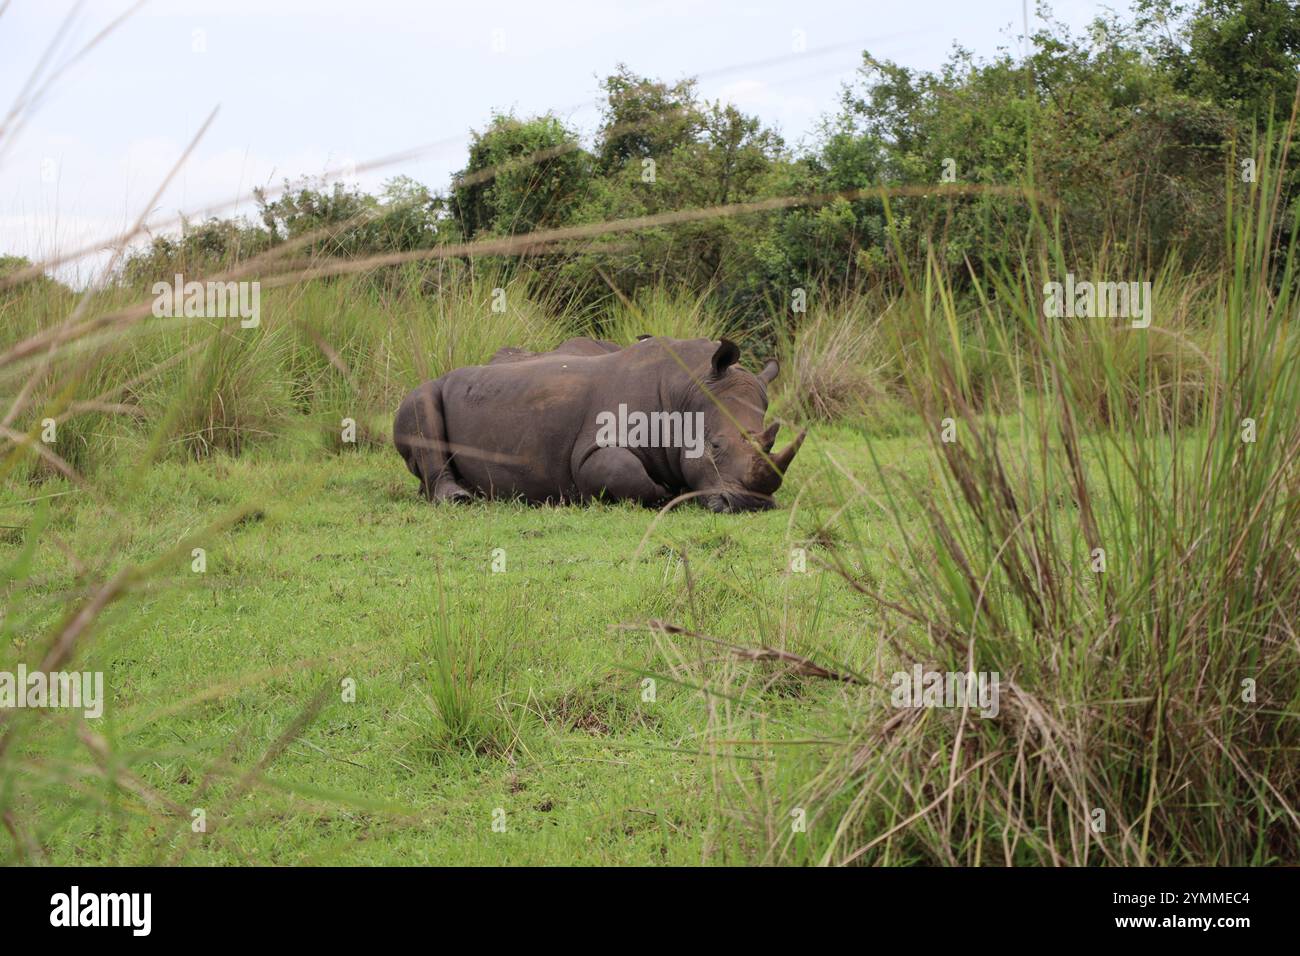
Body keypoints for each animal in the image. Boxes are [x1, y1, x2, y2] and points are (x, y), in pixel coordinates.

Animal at [393, 336, 805, 512]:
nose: (753, 504)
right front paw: (668, 494)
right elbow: (617, 470)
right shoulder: (595, 446)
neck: (687, 387)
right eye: (715, 446)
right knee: (421, 404)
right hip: (423, 391)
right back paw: (460, 499)